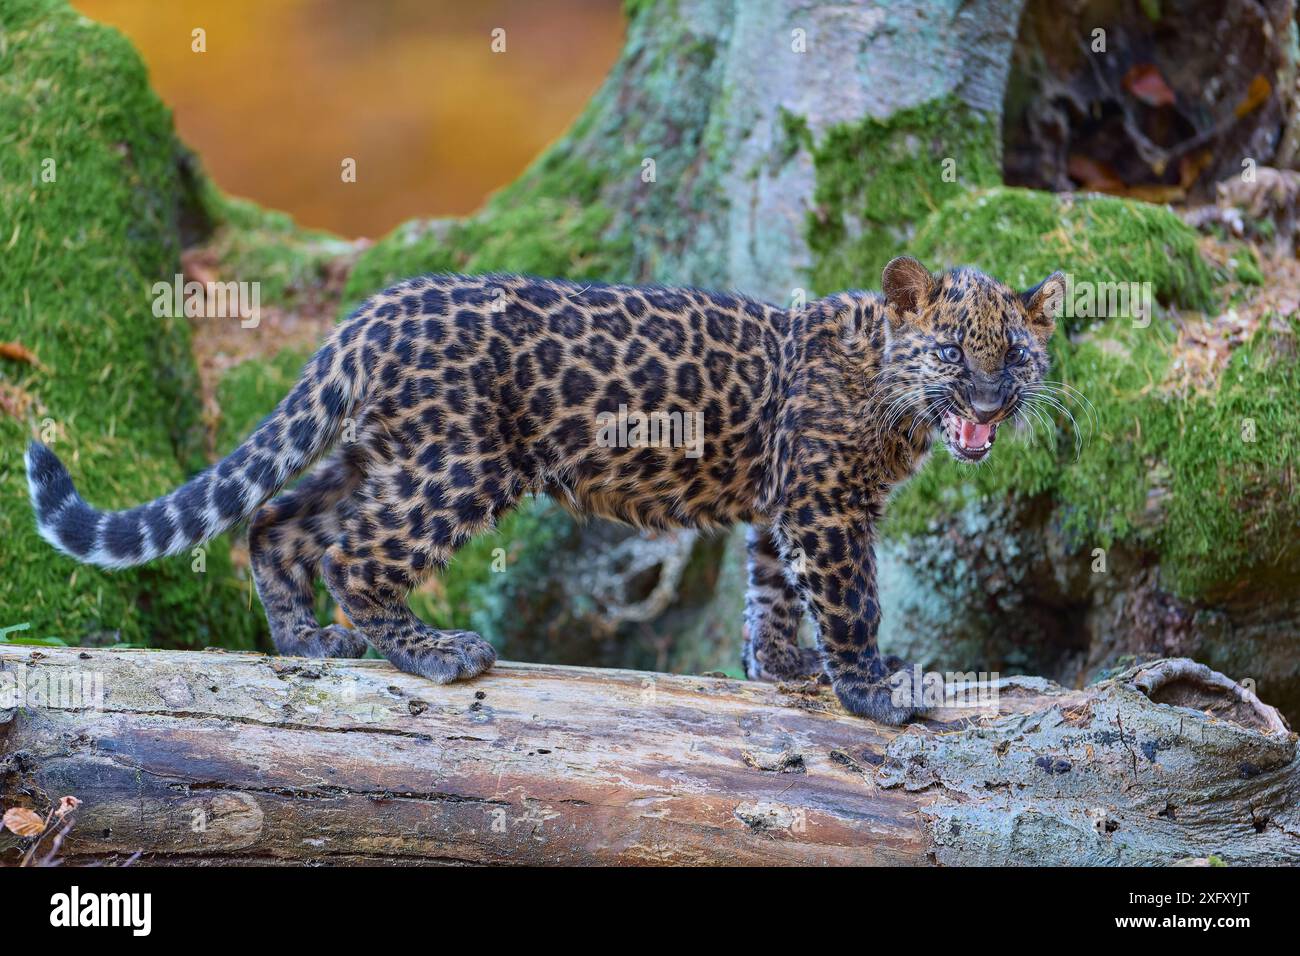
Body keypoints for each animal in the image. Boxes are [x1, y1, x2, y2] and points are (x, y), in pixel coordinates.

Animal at [26, 255, 1063, 724]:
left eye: (1014, 355)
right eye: (951, 353)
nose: (986, 399)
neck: (893, 392)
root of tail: (368, 314)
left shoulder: (786, 504)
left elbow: (772, 590)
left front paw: (781, 667)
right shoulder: (825, 503)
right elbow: (851, 600)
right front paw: (877, 691)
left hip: (388, 452)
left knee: (280, 521)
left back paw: (305, 641)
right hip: (460, 466)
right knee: (356, 552)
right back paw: (432, 652)